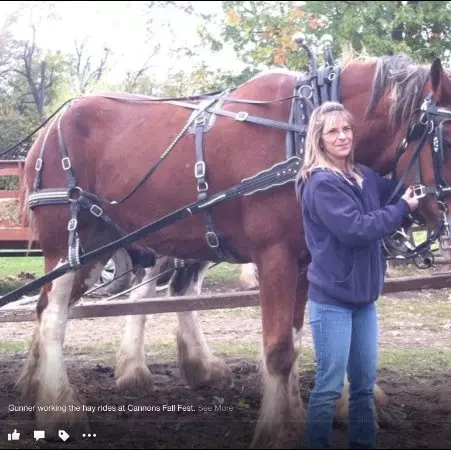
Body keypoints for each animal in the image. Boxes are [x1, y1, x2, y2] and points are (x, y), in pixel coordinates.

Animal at [15, 51, 451, 446]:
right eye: (444, 138)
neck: (303, 136)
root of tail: (50, 128)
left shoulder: (306, 261)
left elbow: (294, 341)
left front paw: (296, 417)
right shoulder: (275, 257)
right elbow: (278, 349)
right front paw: (277, 433)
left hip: (103, 245)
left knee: (56, 307)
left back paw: (41, 387)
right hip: (69, 242)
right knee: (54, 315)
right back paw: (61, 411)